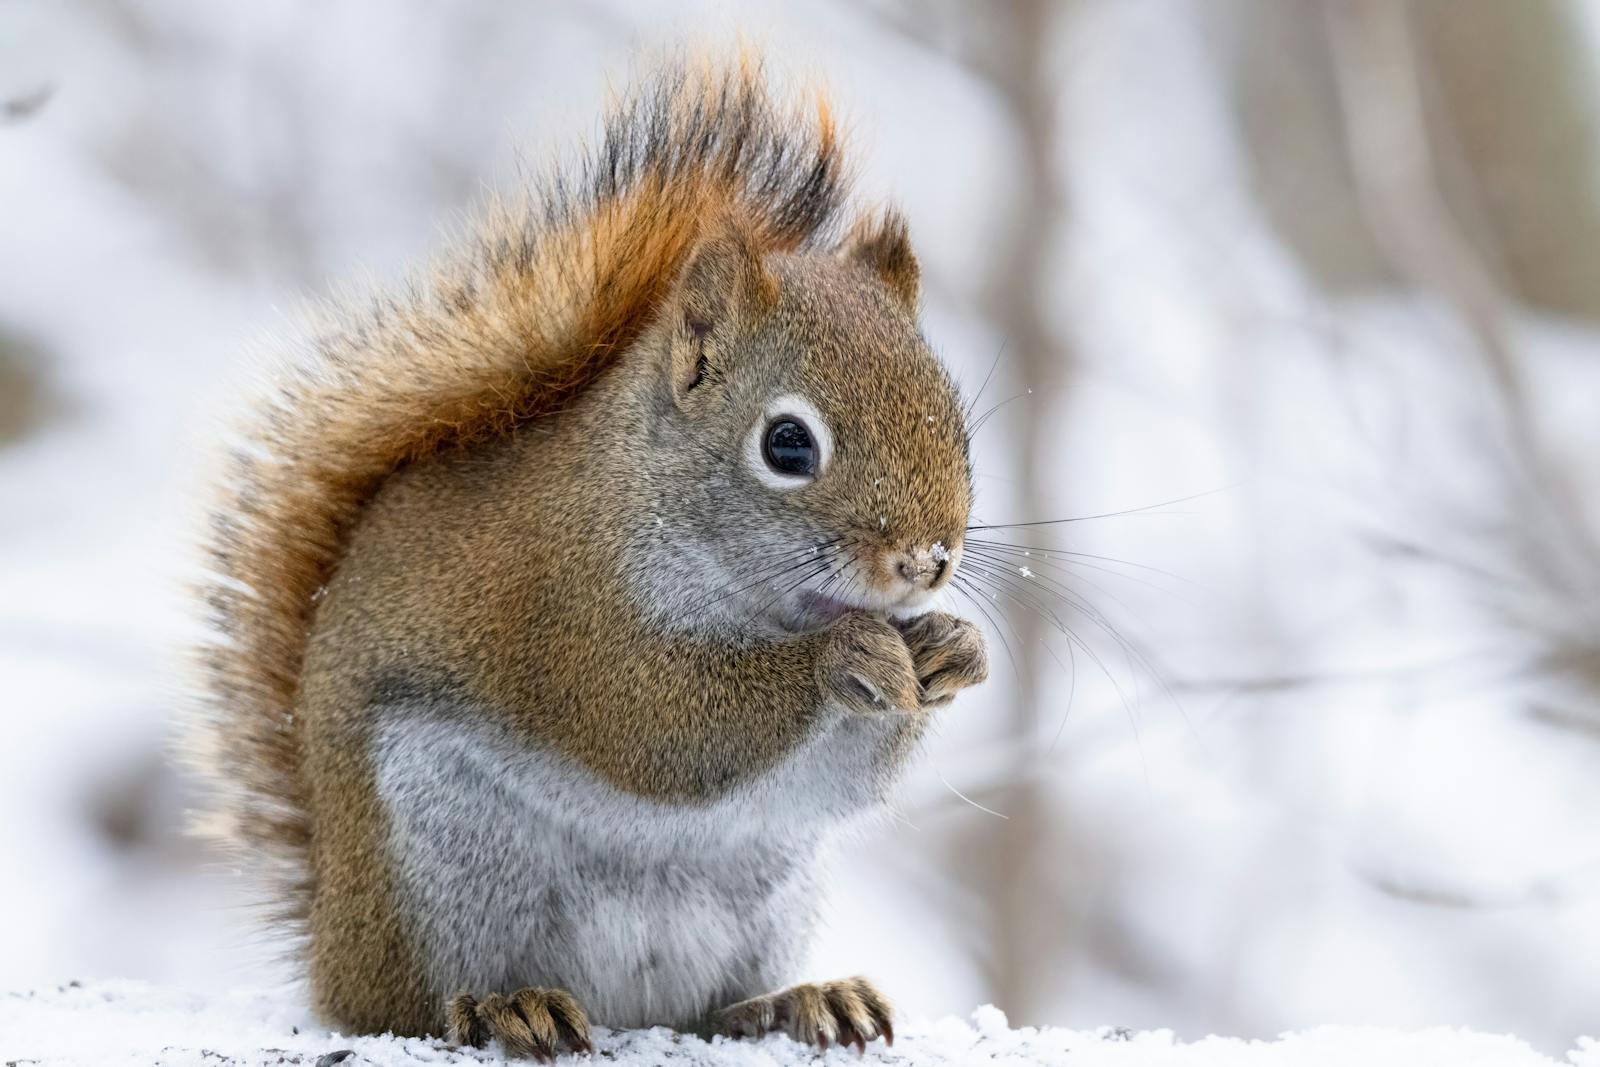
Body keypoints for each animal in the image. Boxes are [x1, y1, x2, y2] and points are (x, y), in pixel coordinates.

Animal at [193, 56, 989, 1060]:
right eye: (789, 444)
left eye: (955, 419)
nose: (928, 561)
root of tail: (332, 941)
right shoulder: (569, 611)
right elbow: (657, 723)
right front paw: (845, 656)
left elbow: (842, 775)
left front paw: (955, 647)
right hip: (440, 862)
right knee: (408, 1004)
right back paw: (506, 1004)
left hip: (764, 893)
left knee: (705, 1009)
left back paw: (797, 999)